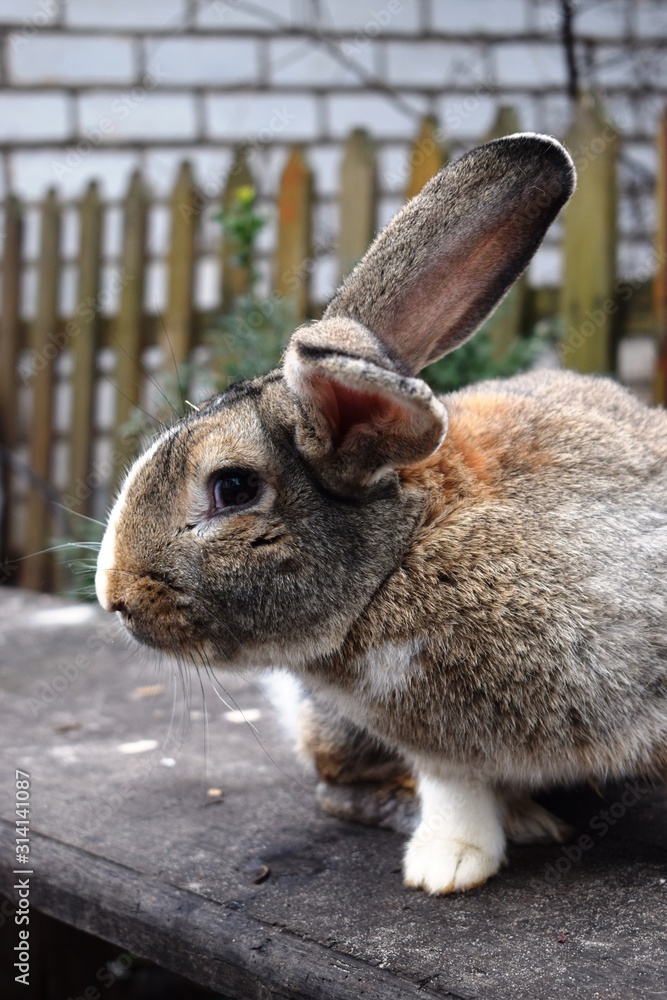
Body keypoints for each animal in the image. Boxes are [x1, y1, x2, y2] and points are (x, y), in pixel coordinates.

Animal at [95, 132, 667, 894]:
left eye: (234, 488)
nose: (113, 596)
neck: (407, 548)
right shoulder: (440, 746)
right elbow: (455, 791)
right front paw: (447, 866)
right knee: (335, 788)